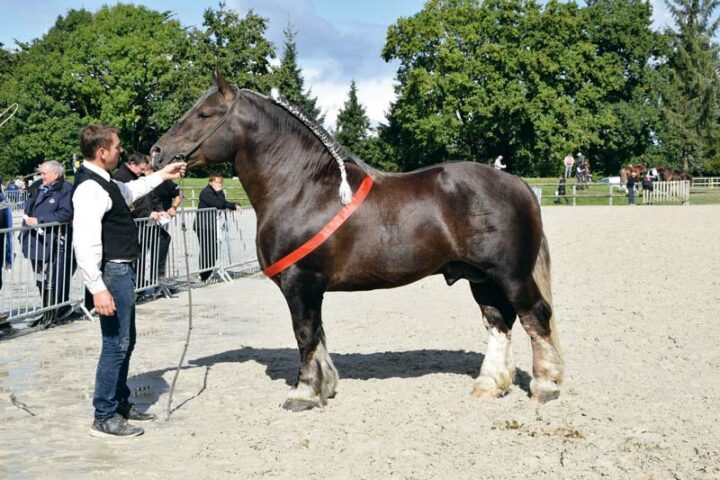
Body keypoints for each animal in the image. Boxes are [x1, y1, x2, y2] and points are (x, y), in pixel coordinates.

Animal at [151, 72, 564, 410]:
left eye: (205, 114)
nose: (157, 152)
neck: (301, 188)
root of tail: (516, 183)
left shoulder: (300, 281)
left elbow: (304, 334)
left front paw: (303, 393)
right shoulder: (310, 287)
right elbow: (317, 334)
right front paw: (325, 386)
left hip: (510, 275)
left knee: (535, 316)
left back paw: (546, 385)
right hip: (482, 278)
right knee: (499, 322)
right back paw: (490, 385)